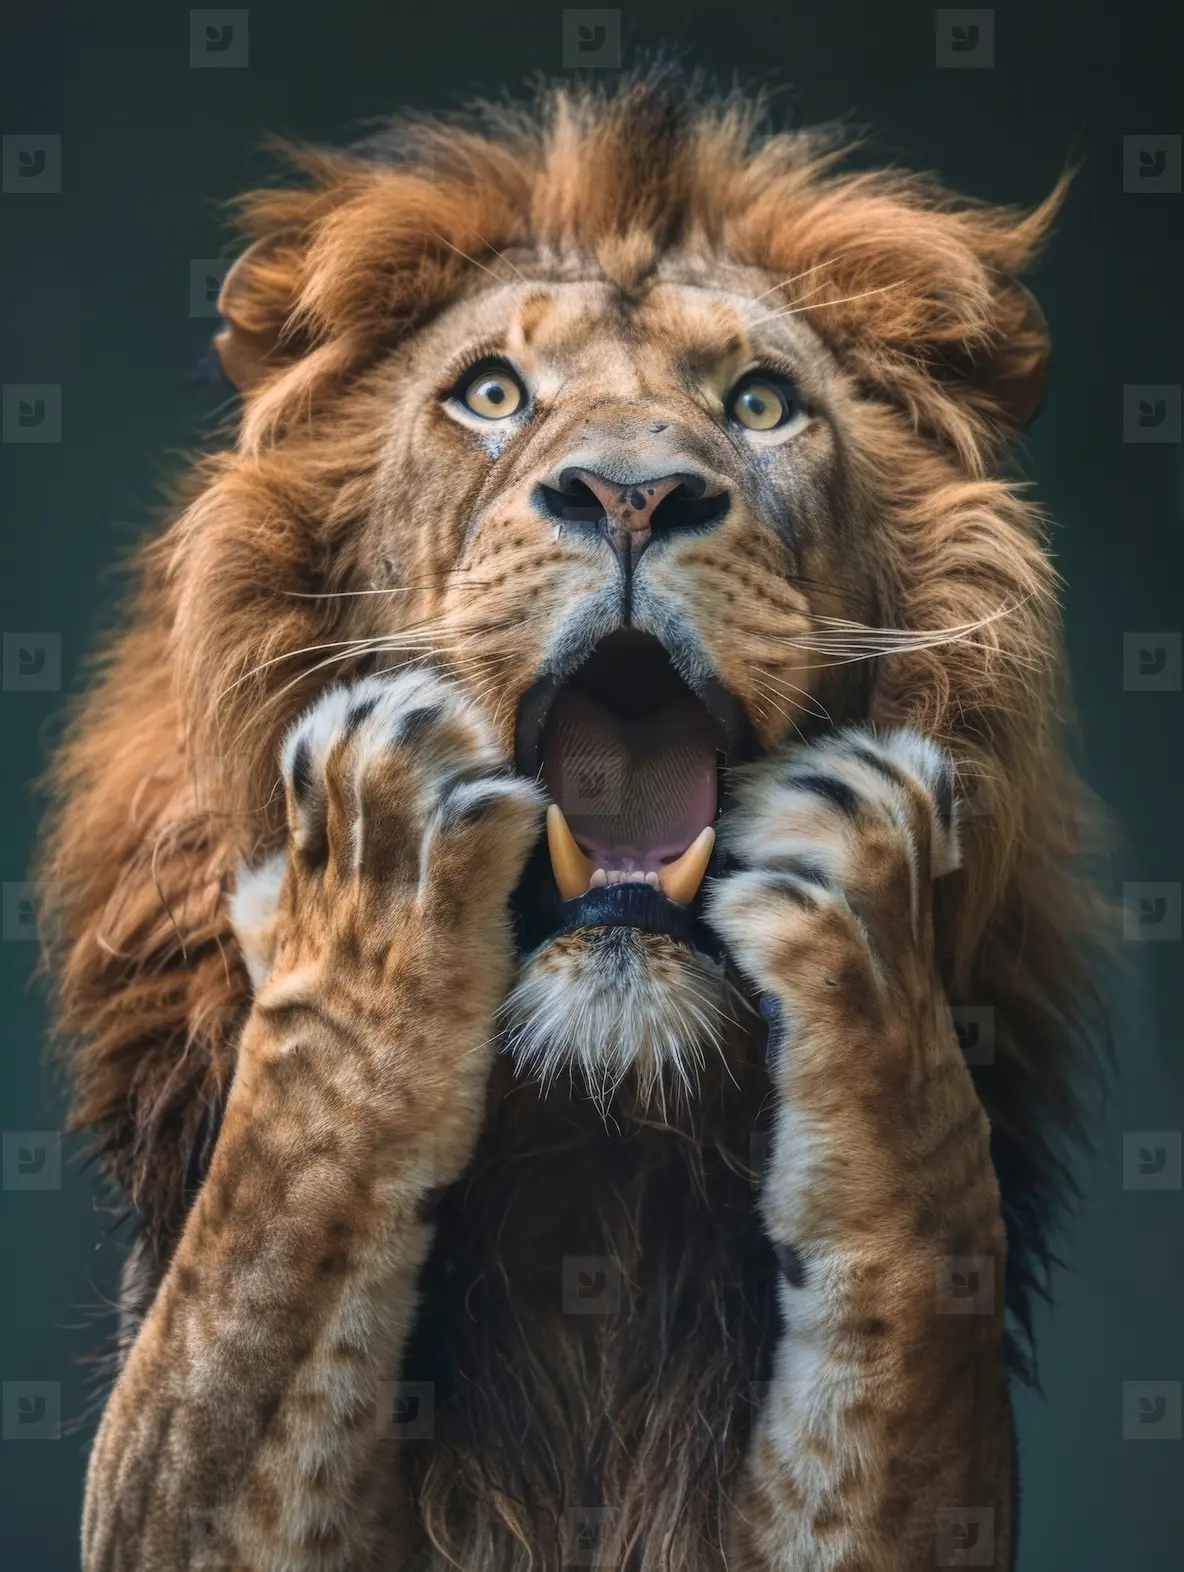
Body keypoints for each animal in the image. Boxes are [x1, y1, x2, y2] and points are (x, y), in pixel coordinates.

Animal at [44, 68, 1105, 1571]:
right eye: (493, 393)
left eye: (762, 403)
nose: (632, 495)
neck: (599, 1145)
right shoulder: (177, 1472)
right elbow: (278, 1216)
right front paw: (378, 876)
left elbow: (916, 1210)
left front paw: (871, 922)